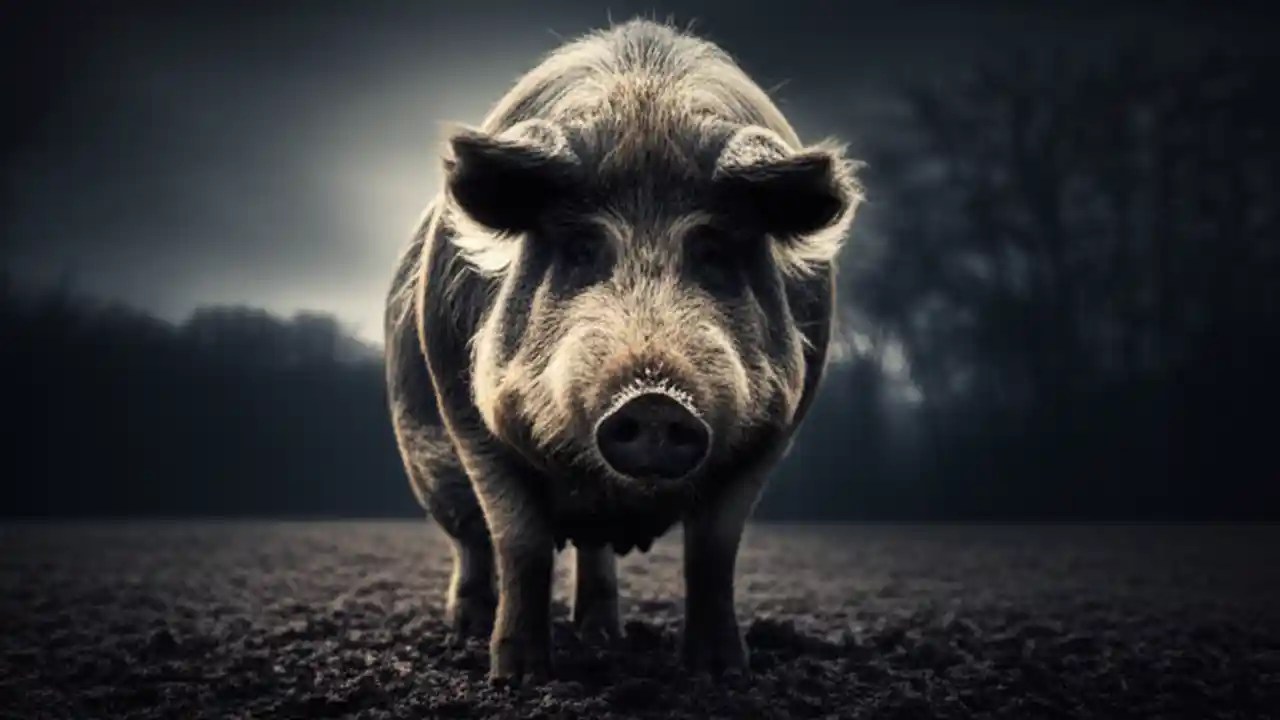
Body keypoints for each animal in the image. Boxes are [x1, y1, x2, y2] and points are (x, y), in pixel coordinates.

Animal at [385, 18, 861, 683]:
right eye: (583, 248)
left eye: (713, 252)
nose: (654, 399)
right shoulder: (469, 415)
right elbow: (520, 545)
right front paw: (519, 678)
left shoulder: (775, 429)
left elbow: (713, 553)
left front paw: (721, 672)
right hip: (429, 468)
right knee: (473, 545)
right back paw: (470, 632)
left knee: (595, 553)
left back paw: (604, 636)